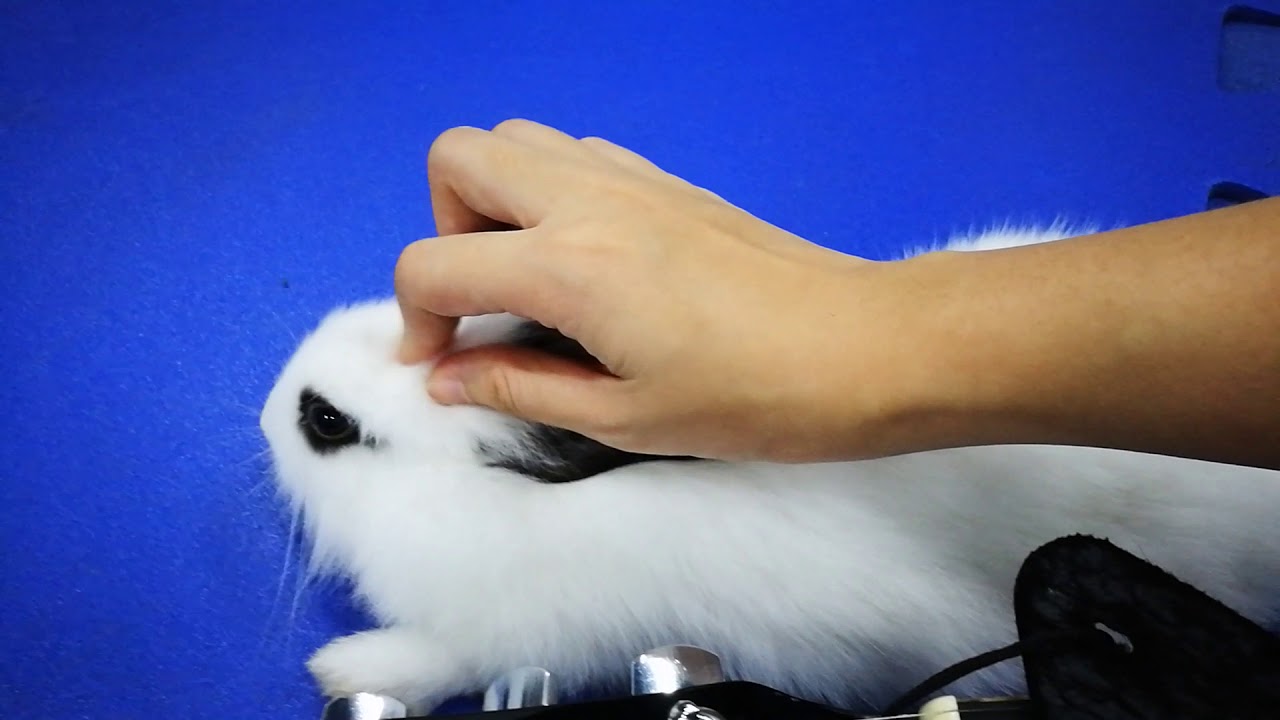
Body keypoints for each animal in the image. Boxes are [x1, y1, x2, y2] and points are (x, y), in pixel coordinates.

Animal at [259, 225, 1280, 715]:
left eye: (327, 423)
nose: (263, 415)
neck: (464, 502)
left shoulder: (533, 627)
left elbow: (445, 656)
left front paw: (341, 670)